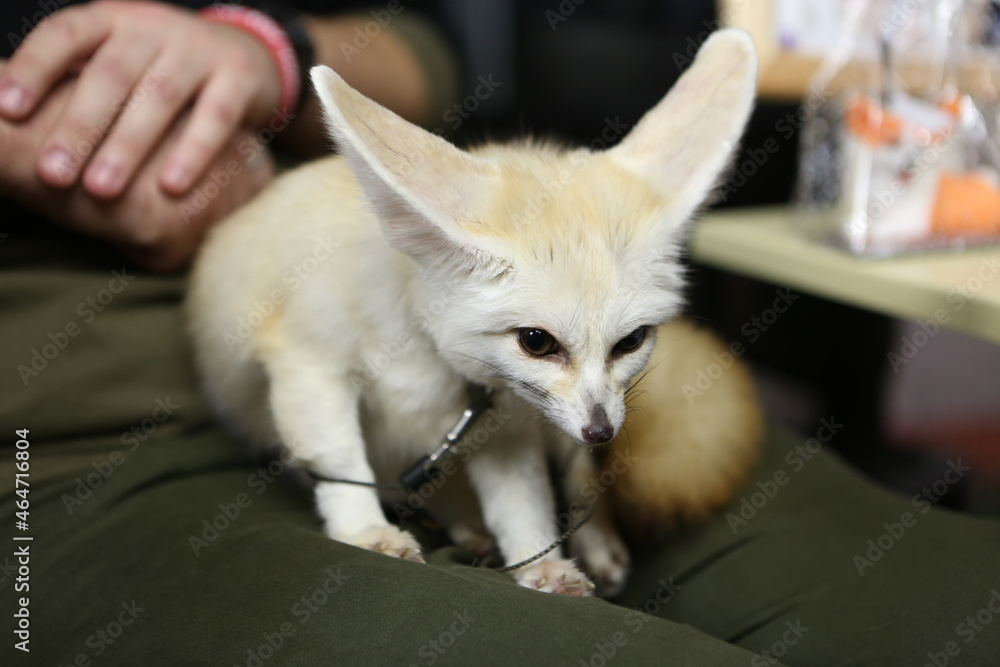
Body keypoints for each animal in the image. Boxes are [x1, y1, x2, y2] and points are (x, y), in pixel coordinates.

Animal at [187, 29, 762, 597]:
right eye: (536, 341)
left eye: (631, 341)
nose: (602, 433)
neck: (422, 350)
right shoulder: (310, 364)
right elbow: (338, 457)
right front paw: (365, 529)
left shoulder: (506, 425)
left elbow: (523, 501)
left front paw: (539, 564)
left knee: (577, 479)